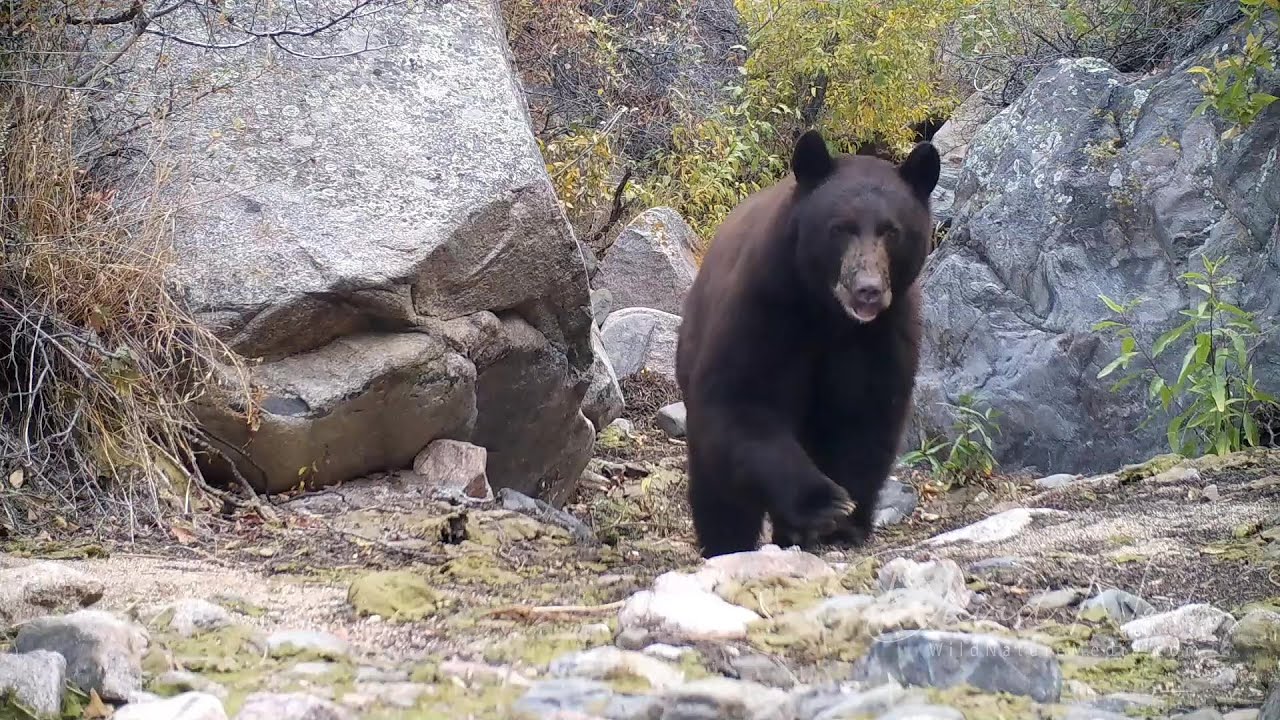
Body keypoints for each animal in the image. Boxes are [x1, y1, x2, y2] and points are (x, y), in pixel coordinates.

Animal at [674, 128, 939, 559]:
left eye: (891, 230)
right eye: (841, 227)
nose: (868, 290)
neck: (828, 316)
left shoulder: (883, 333)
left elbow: (865, 416)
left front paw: (843, 523)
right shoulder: (766, 307)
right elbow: (742, 402)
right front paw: (823, 503)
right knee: (718, 485)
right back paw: (726, 542)